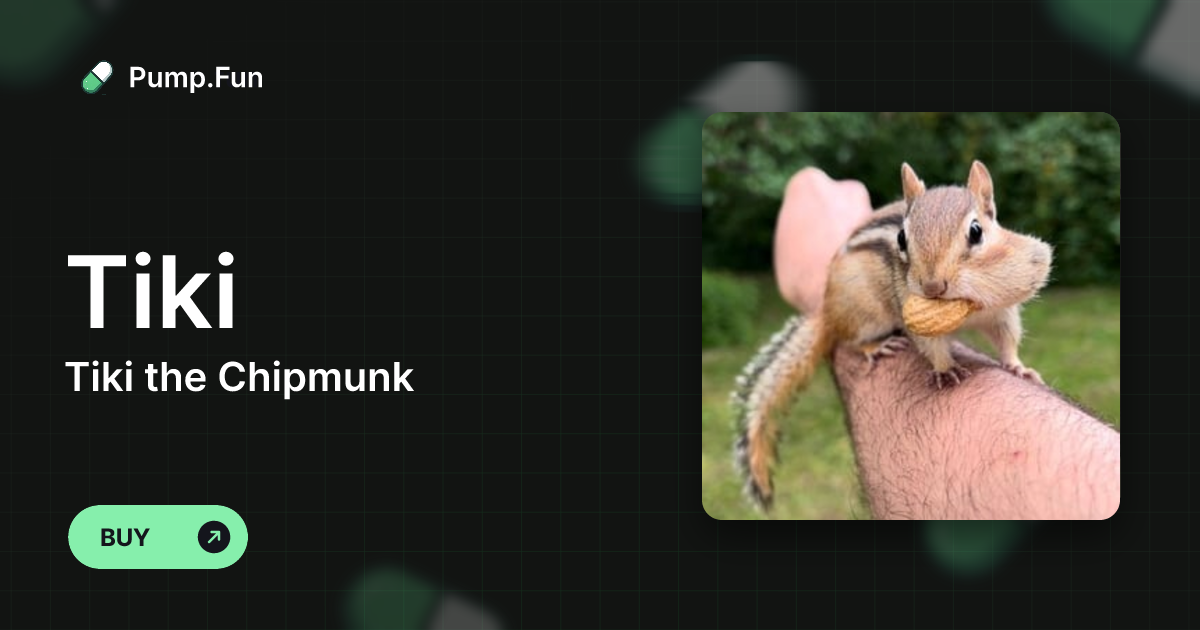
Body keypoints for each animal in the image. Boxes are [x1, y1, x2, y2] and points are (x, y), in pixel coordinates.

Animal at [732, 160, 1053, 512]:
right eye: (901, 238)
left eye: (976, 232)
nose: (932, 286)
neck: (967, 307)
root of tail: (828, 311)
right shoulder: (910, 310)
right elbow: (931, 345)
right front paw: (945, 369)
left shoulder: (1001, 313)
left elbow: (1008, 339)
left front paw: (1017, 366)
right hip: (866, 312)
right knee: (853, 339)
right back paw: (877, 346)